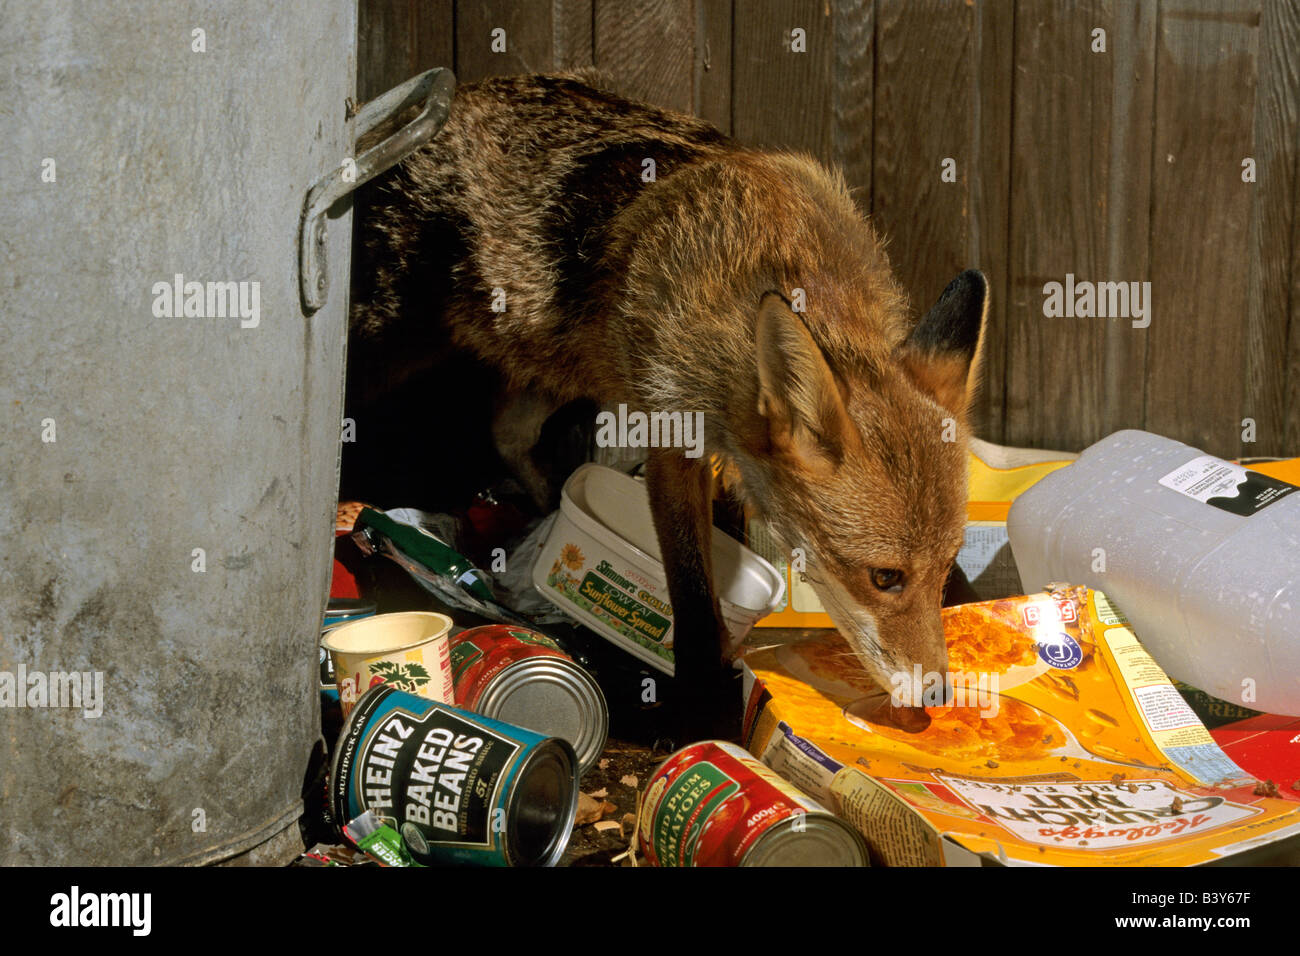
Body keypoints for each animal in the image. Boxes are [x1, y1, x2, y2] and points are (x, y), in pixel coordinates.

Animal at [349, 72, 987, 734]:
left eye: (945, 568)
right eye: (885, 577)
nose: (938, 694)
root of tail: (467, 89)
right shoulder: (671, 430)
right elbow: (692, 592)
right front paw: (705, 706)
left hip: (555, 362)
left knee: (507, 430)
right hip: (387, 344)